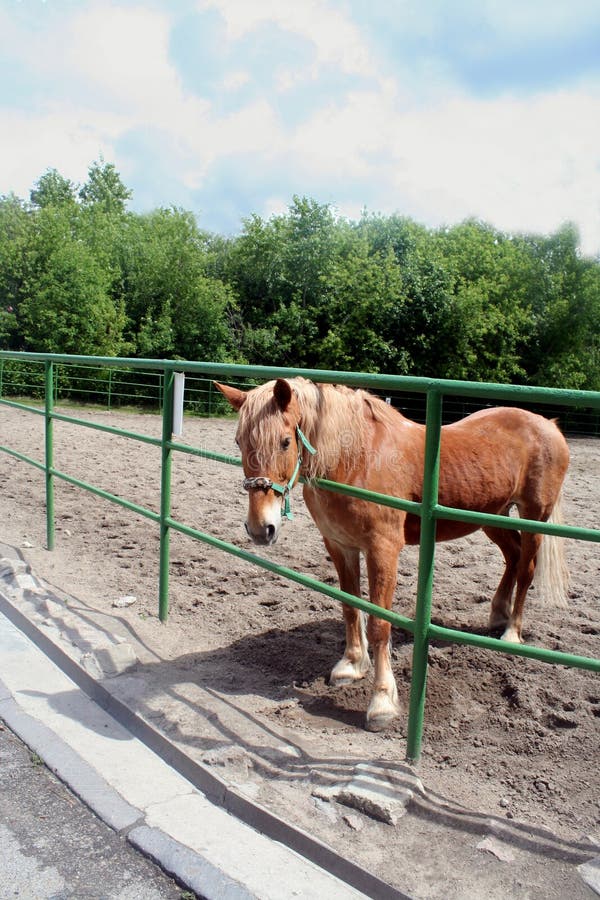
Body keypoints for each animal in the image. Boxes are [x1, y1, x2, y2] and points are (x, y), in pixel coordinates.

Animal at [215, 377, 570, 731]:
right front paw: (351, 665)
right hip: (490, 516)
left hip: (533, 517)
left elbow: (379, 624)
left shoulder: (382, 551)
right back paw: (498, 615)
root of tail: (549, 425)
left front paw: (382, 702)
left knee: (527, 567)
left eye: (285, 441)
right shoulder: (340, 546)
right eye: (238, 441)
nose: (260, 529)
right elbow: (350, 607)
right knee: (513, 556)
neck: (356, 458)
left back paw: (512, 633)